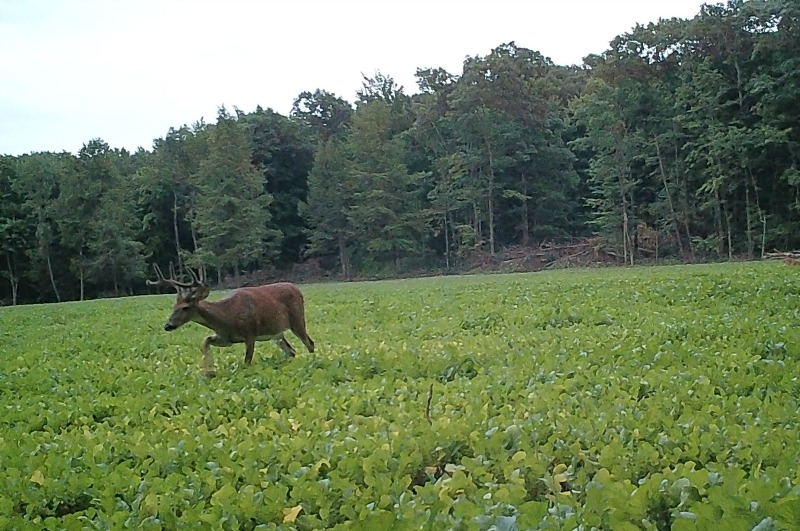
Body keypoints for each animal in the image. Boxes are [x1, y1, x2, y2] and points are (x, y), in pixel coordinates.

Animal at [147, 264, 316, 376]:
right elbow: (205, 342)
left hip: (297, 320)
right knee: (291, 351)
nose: (168, 325)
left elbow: (246, 361)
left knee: (309, 343)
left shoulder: (250, 333)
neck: (226, 317)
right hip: (277, 333)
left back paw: (313, 361)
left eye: (185, 307)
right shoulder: (226, 338)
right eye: (174, 306)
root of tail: (296, 287)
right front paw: (209, 370)